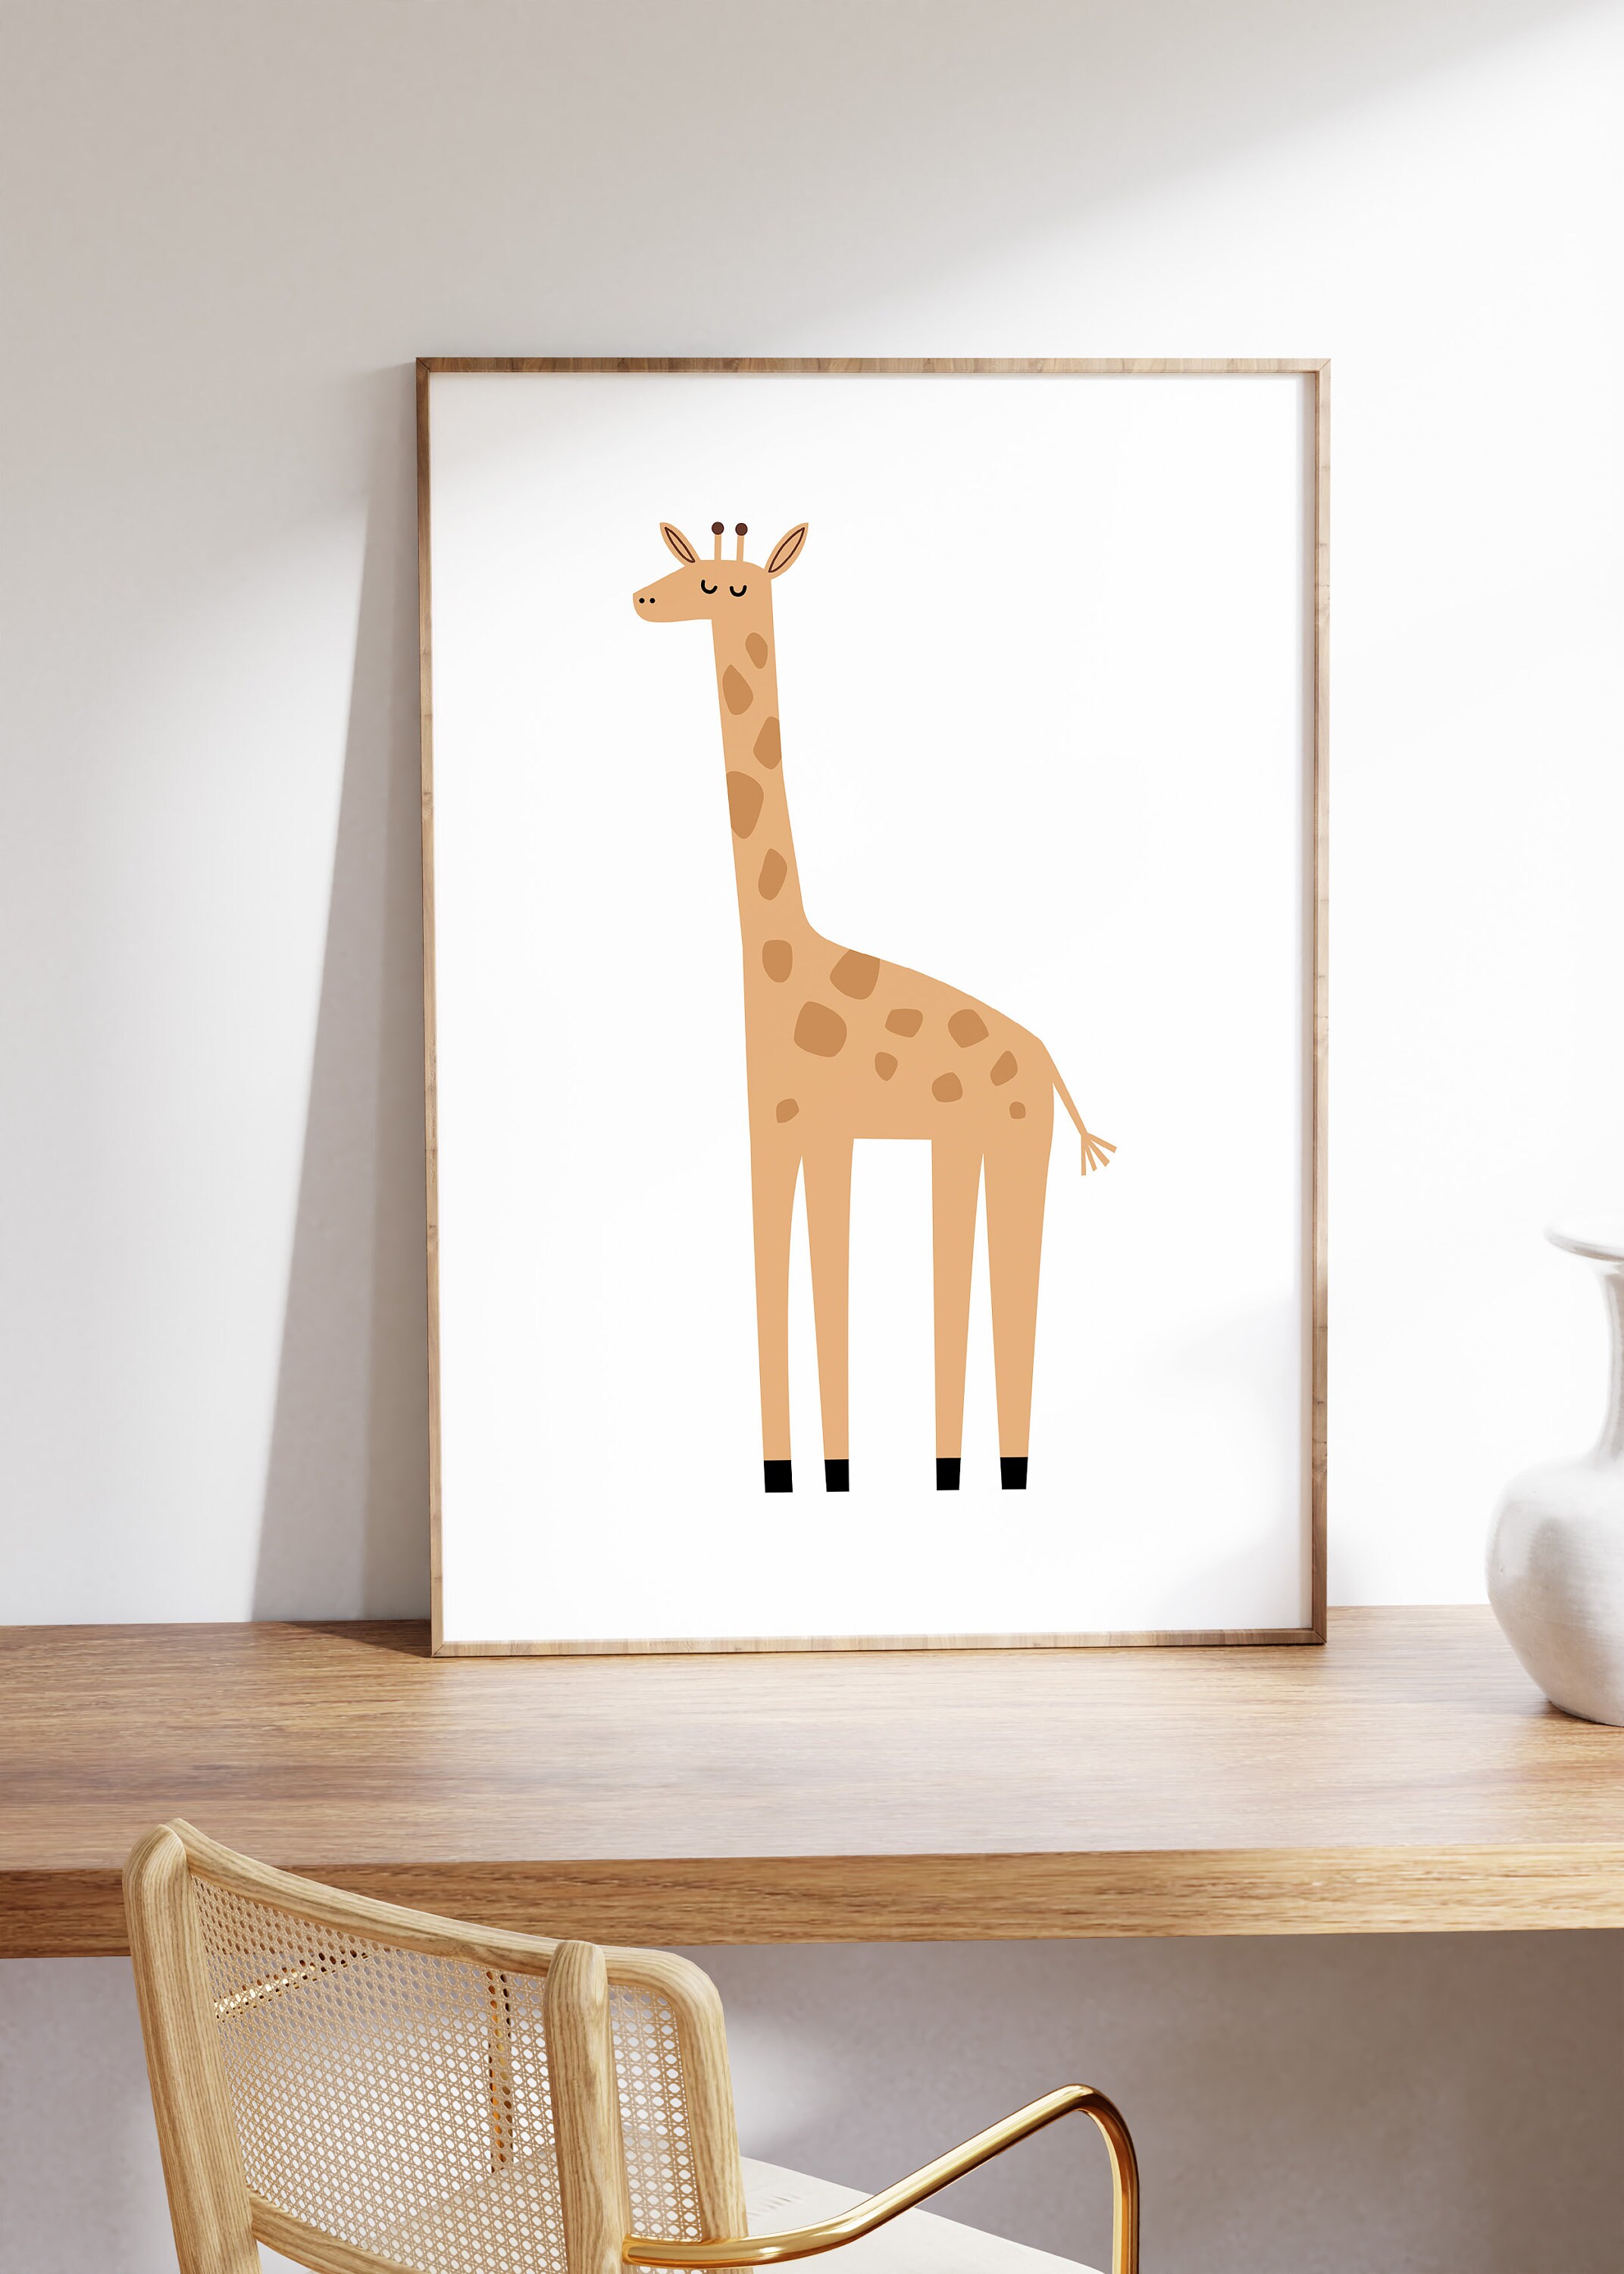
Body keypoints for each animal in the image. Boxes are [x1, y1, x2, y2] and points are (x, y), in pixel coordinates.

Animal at [633, 518, 1113, 1495]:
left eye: (724, 586)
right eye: (688, 570)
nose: (641, 598)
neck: (782, 959)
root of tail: (1050, 1066)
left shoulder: (796, 1127)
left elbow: (800, 1275)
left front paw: (804, 1472)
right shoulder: (802, 1133)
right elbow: (809, 1279)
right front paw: (814, 1469)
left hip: (1015, 1146)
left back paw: (1001, 1470)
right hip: (969, 1144)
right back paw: (956, 1467)